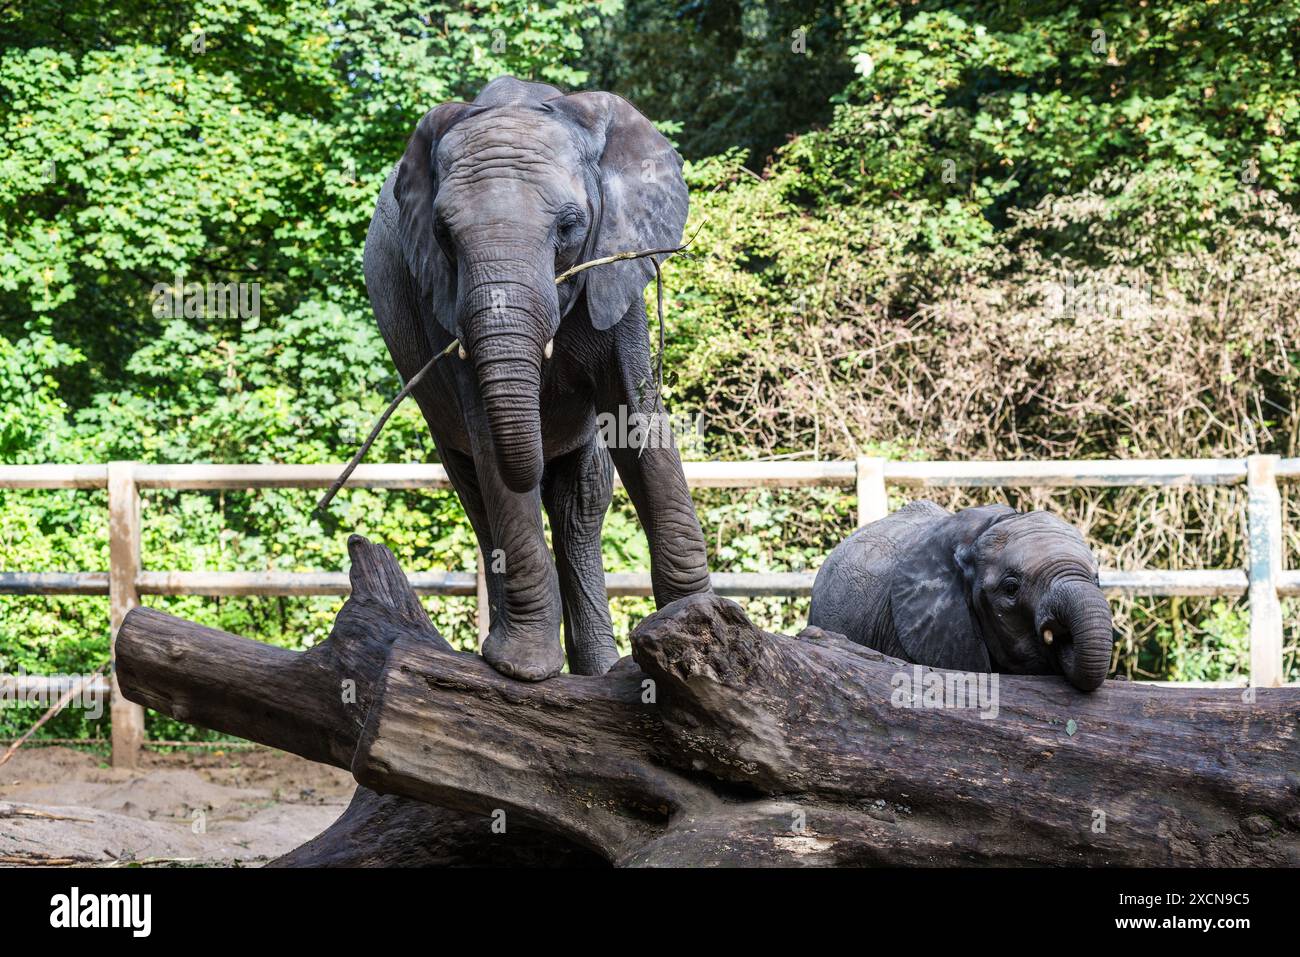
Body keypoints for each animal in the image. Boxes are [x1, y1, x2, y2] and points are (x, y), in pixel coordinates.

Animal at [363, 76, 711, 682]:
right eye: (442, 235)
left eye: (569, 226)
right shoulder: (440, 302)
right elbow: (491, 448)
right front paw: (523, 670)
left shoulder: (616, 264)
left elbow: (636, 415)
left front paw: (705, 629)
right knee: (475, 493)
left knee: (582, 502)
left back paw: (599, 671)